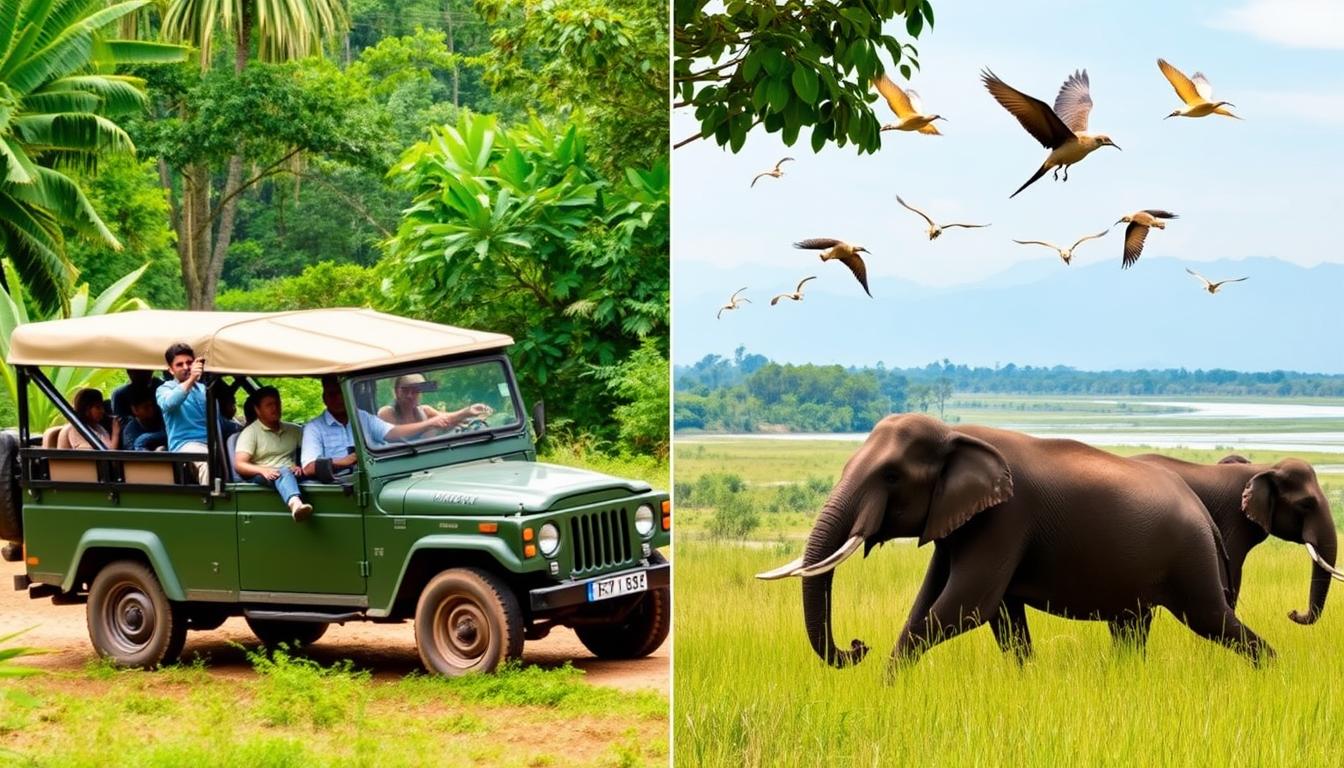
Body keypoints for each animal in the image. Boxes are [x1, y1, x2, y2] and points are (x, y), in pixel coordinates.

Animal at [758, 414, 1274, 673]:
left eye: (891, 476)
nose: (857, 645)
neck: (957, 434)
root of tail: (1203, 514)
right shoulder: (962, 522)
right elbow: (983, 612)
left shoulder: (1005, 518)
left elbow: (967, 606)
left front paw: (888, 686)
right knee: (1132, 626)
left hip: (1188, 554)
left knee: (1211, 619)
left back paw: (1270, 671)